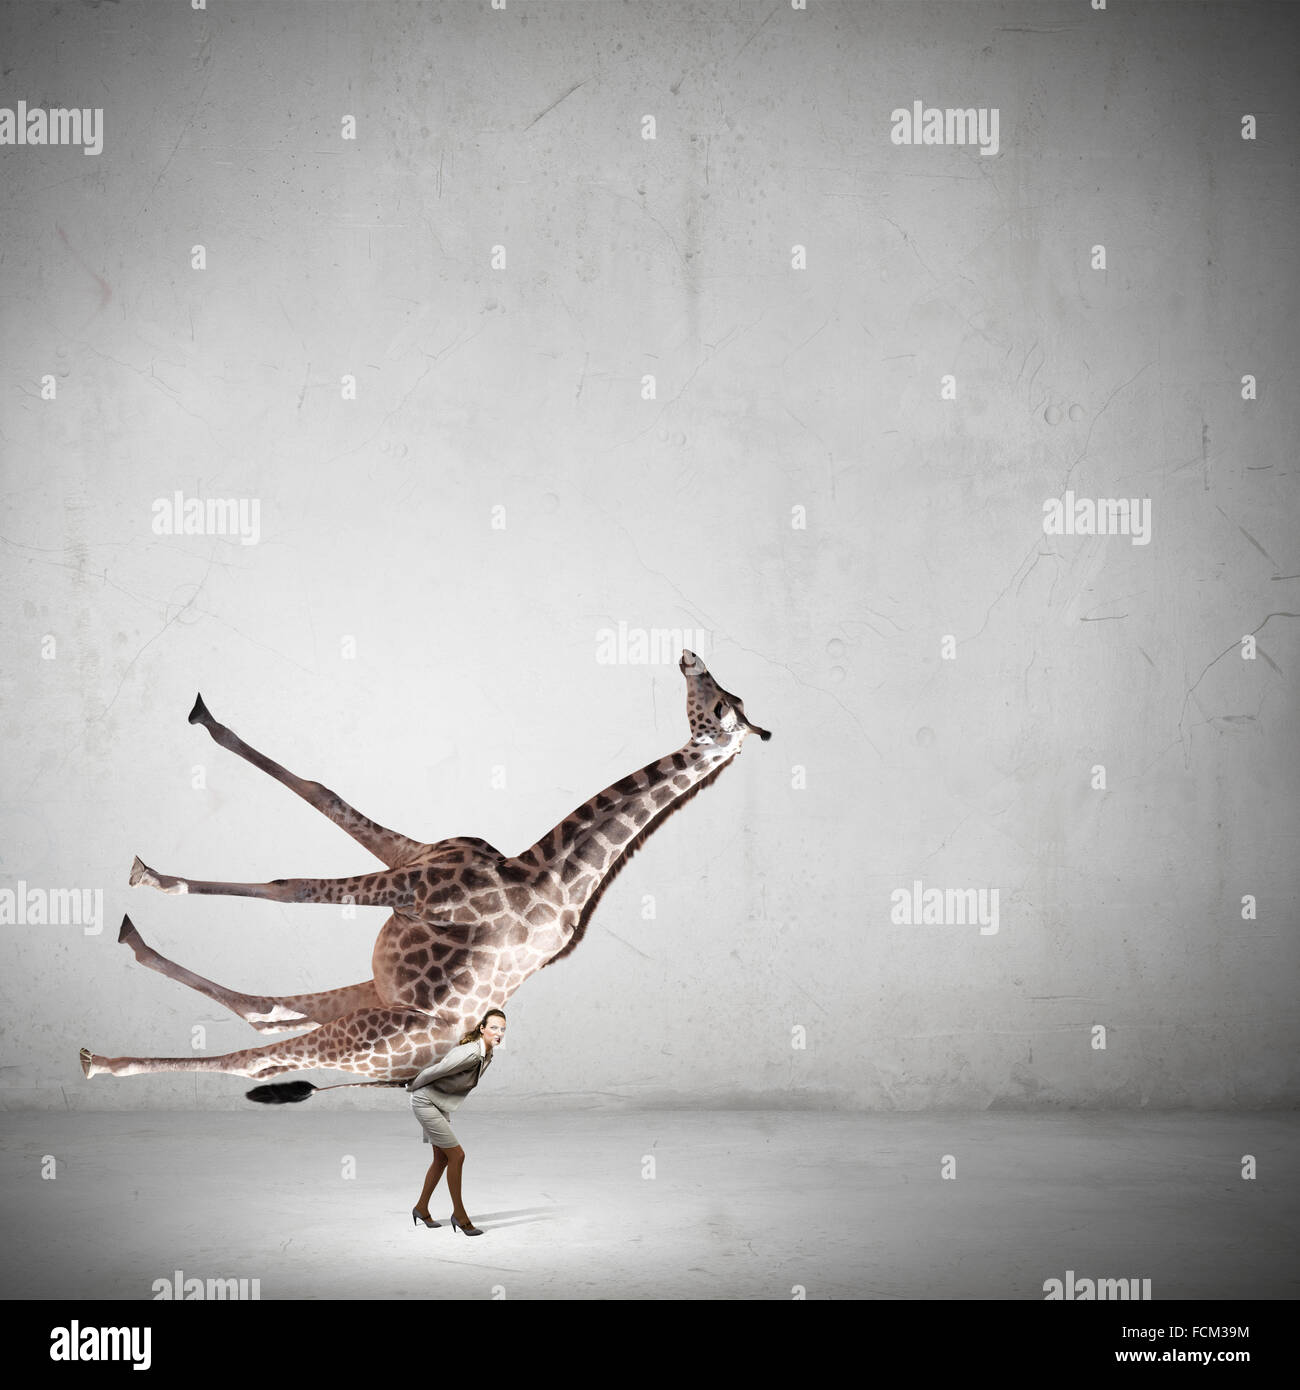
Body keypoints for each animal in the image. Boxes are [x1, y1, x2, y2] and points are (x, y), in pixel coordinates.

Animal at [80, 651, 770, 1084]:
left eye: (719, 702)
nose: (689, 655)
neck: (542, 867)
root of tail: (416, 1065)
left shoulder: (418, 884)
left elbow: (288, 886)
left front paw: (150, 876)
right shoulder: (416, 859)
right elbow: (321, 791)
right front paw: (207, 720)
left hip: (371, 1030)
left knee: (258, 1056)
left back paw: (100, 1061)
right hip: (372, 997)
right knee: (265, 1012)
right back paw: (131, 943)